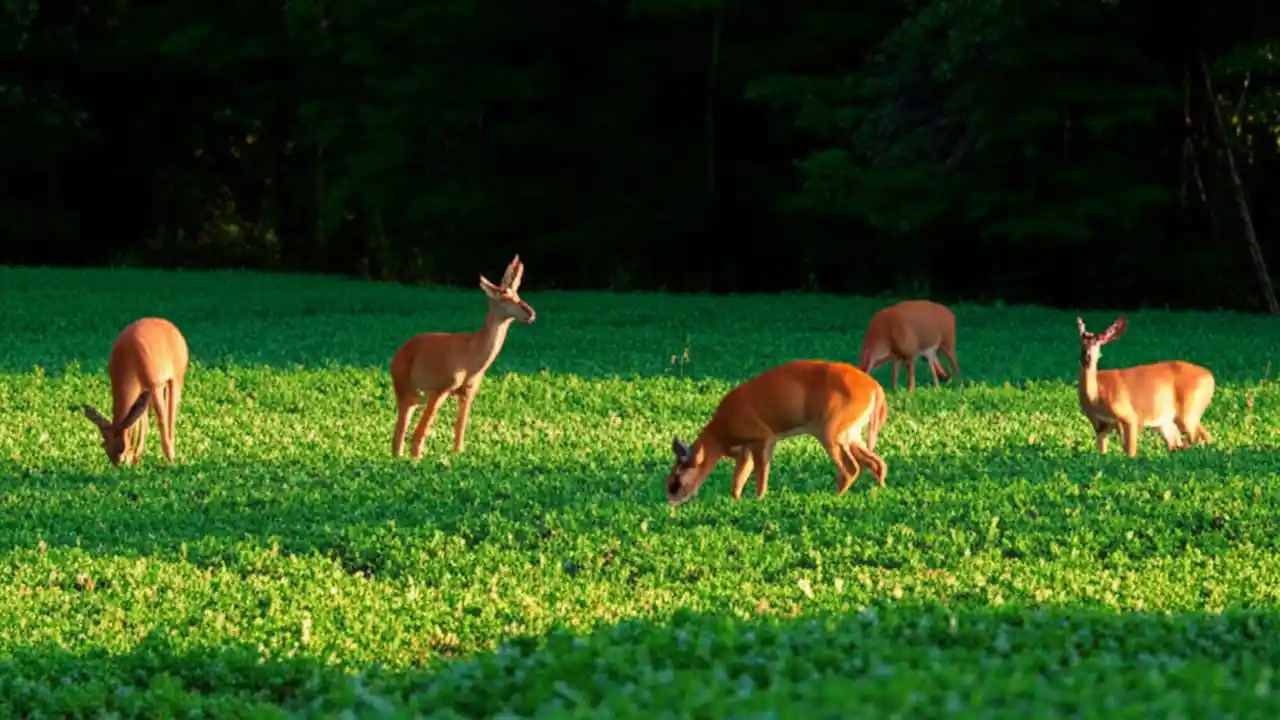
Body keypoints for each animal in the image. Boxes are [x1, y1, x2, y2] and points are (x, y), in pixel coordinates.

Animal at [81, 317, 189, 466]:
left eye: (122, 448)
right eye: (105, 446)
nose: (120, 464)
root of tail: (171, 326)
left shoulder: (154, 385)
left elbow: (161, 421)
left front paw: (171, 461)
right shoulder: (142, 392)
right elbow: (139, 423)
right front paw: (135, 459)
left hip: (176, 378)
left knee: (170, 416)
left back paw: (172, 456)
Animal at [390, 254, 536, 460]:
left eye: (518, 296)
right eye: (503, 297)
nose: (531, 314)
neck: (472, 354)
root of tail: (396, 355)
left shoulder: (468, 392)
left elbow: (459, 433)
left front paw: (457, 455)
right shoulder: (440, 388)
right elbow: (422, 432)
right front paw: (417, 460)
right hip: (407, 389)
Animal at [664, 360, 889, 507]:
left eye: (675, 482)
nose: (670, 504)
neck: (721, 435)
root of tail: (875, 388)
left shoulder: (762, 437)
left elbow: (761, 474)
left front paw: (758, 500)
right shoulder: (745, 449)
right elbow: (739, 478)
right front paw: (735, 501)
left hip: (831, 430)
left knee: (852, 468)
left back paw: (836, 497)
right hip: (852, 432)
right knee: (877, 462)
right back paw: (880, 490)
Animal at [1076, 315, 1216, 457]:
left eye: (1098, 343)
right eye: (1082, 342)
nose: (1087, 357)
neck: (1096, 397)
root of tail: (1210, 376)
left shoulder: (1130, 416)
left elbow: (1130, 452)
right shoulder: (1099, 425)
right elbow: (1103, 451)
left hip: (1190, 410)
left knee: (1201, 438)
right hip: (1168, 422)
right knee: (1182, 443)